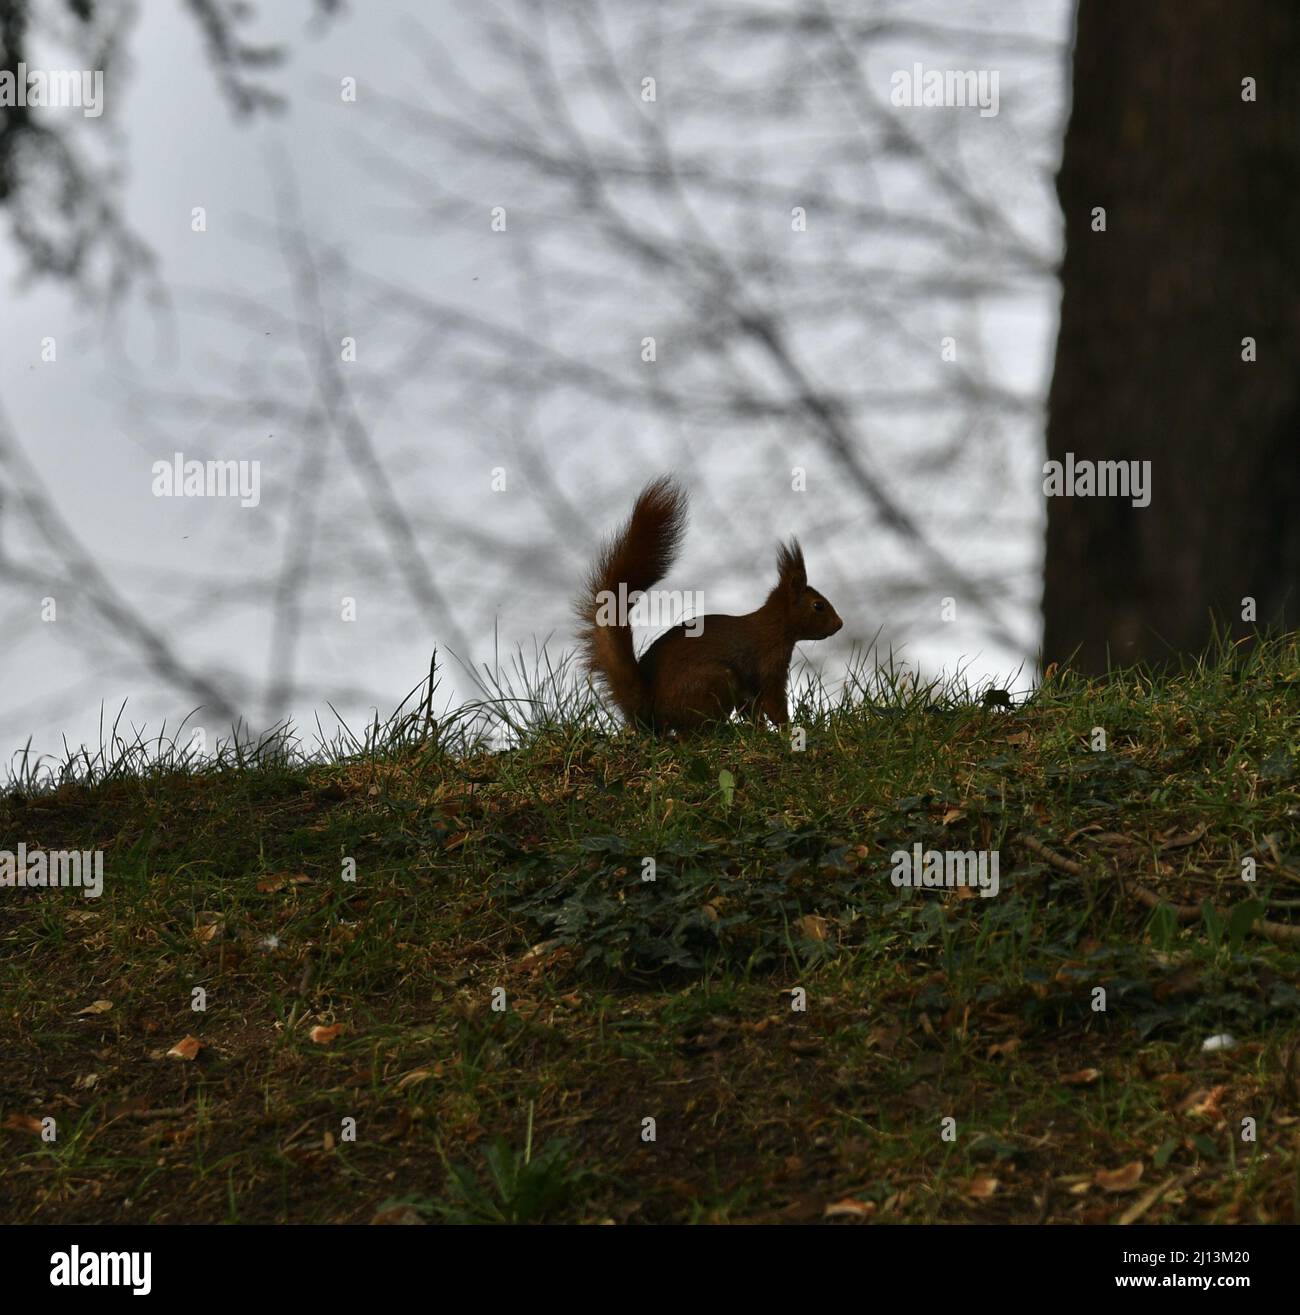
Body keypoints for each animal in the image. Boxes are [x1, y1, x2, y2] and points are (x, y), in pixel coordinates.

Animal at [575, 475, 843, 731]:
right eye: (818, 606)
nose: (839, 624)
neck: (775, 626)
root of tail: (650, 713)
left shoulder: (750, 686)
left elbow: (753, 710)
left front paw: (760, 732)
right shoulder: (768, 663)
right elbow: (773, 703)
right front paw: (789, 730)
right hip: (717, 681)